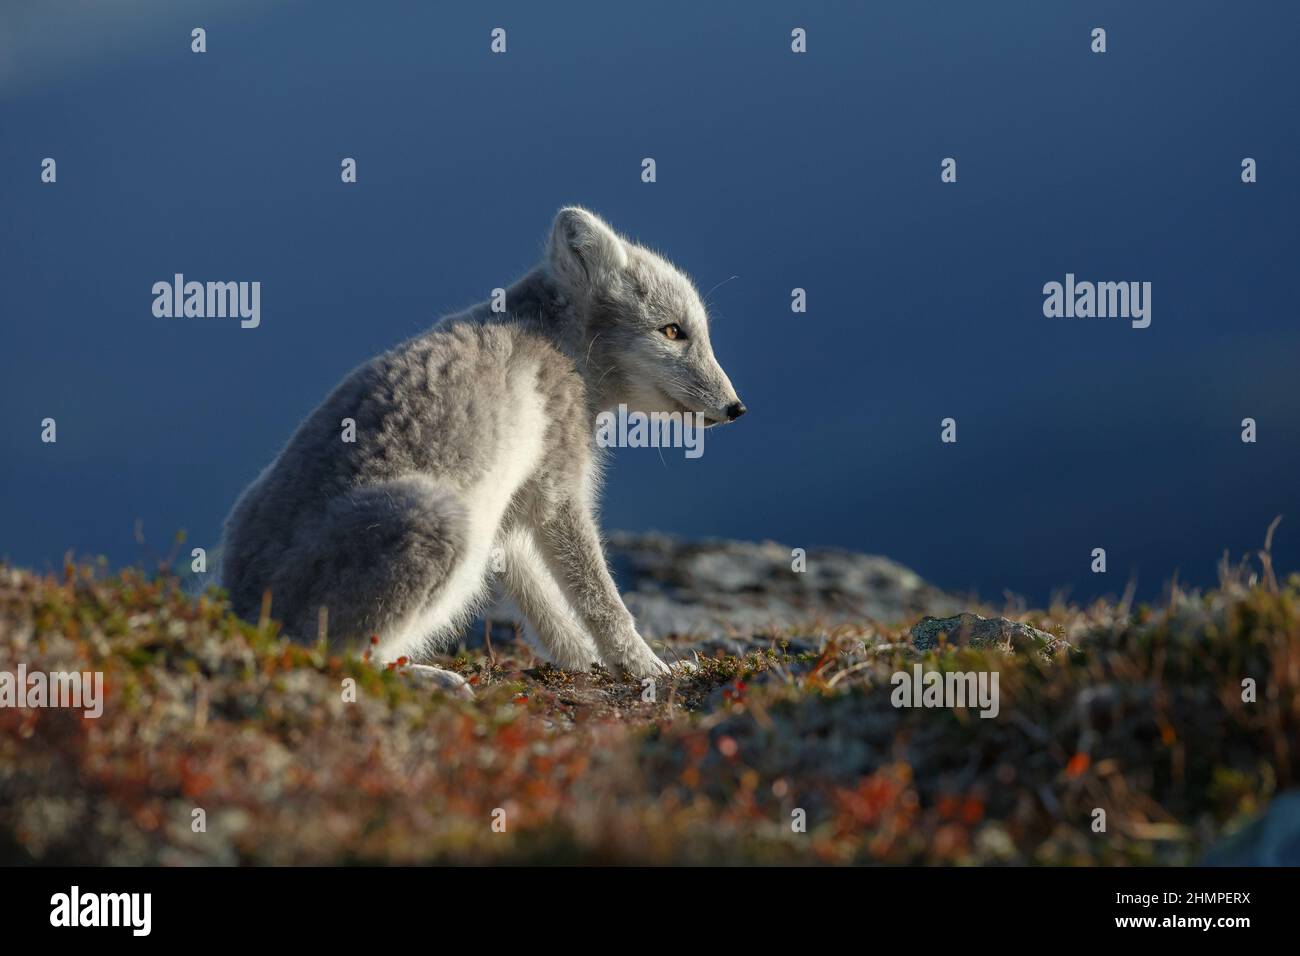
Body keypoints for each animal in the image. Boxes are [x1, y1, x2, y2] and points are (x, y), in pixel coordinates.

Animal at [220, 207, 746, 694]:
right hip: (438, 517)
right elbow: (601, 600)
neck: (559, 343)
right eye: (673, 331)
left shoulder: (512, 515)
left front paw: (585, 663)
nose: (736, 407)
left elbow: (545, 608)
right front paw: (646, 668)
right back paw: (429, 678)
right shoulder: (558, 490)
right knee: (332, 655)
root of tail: (238, 610)